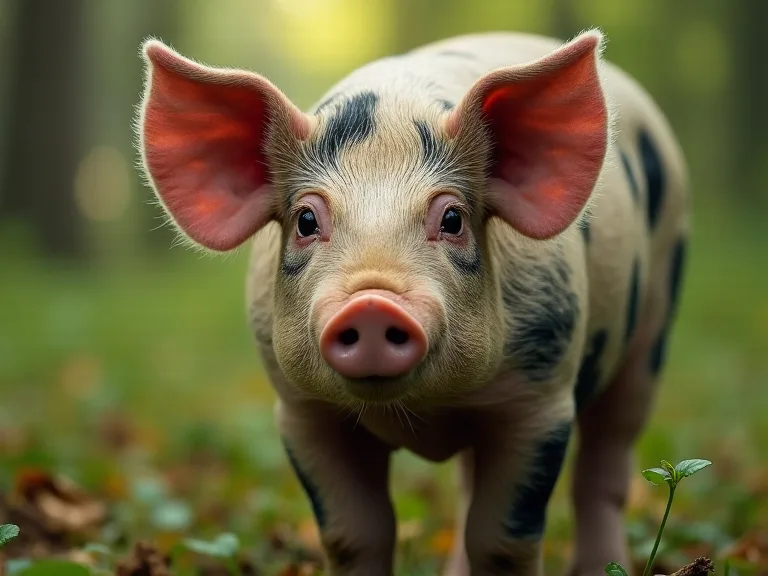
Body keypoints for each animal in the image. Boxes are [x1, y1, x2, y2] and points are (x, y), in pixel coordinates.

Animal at [136, 27, 689, 576]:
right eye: (306, 221)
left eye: (453, 219)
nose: (372, 304)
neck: (420, 410)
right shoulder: (301, 409)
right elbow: (354, 534)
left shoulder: (541, 396)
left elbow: (504, 539)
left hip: (655, 322)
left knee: (607, 465)